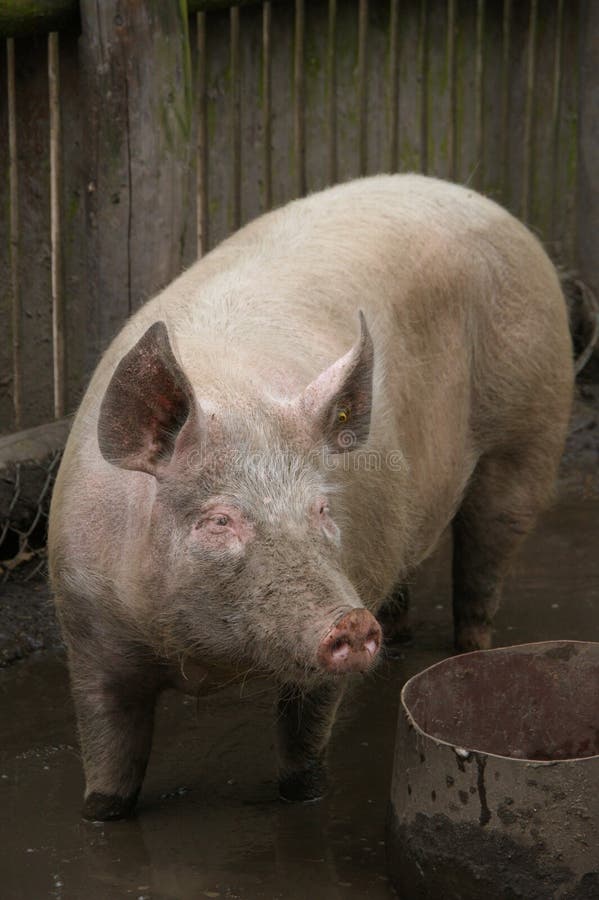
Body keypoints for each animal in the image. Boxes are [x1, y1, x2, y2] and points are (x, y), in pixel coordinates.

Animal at [48, 174, 573, 821]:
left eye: (321, 509)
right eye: (219, 520)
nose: (351, 619)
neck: (206, 665)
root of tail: (480, 200)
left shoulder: (343, 611)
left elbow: (305, 736)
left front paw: (305, 795)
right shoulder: (87, 632)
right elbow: (108, 751)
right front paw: (102, 812)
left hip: (529, 430)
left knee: (485, 557)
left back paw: (468, 650)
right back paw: (399, 638)